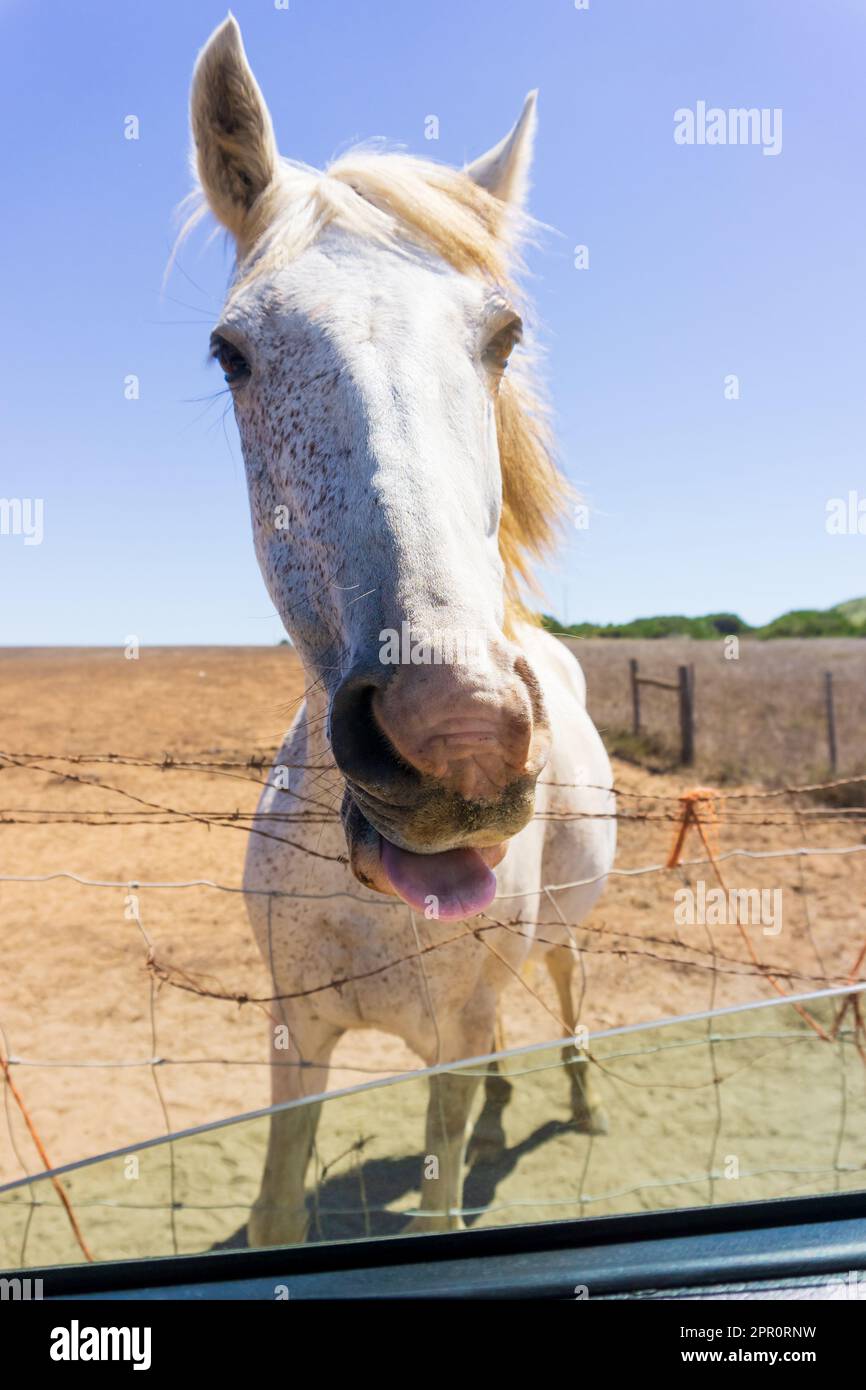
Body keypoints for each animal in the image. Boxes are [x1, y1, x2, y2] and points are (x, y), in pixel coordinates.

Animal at [186, 16, 616, 1245]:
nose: (459, 734)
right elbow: (280, 1214)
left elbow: (439, 1211)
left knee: (566, 984)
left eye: (502, 337)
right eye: (232, 352)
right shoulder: (294, 1034)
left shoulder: (449, 1046)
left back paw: (576, 1096)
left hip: (558, 938)